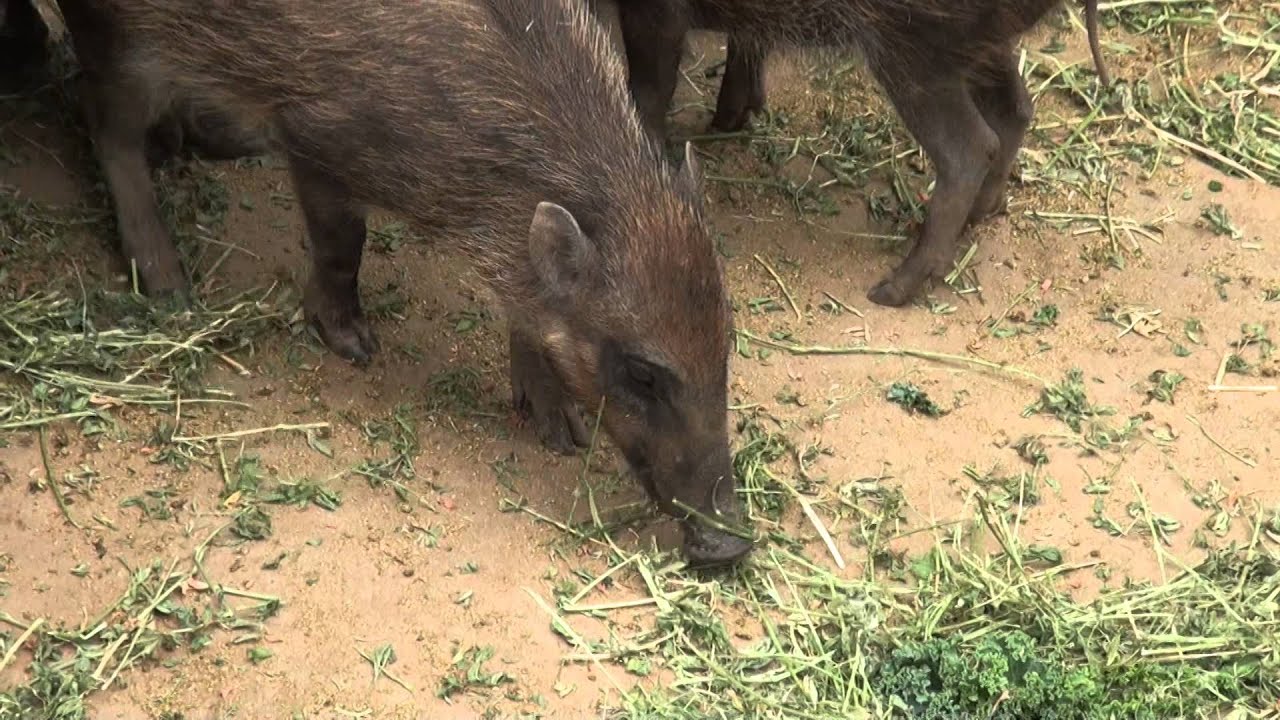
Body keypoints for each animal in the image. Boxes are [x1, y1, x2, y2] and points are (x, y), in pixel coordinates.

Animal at [56, 0, 754, 566]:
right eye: (641, 373)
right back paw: (169, 284)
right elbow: (343, 246)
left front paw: (560, 428)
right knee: (100, 116)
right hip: (121, 44)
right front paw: (353, 344)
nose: (730, 545)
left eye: (727, 344)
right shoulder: (315, 140)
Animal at [609, 0, 1109, 308]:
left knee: (969, 148)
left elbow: (649, 88)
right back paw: (981, 215)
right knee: (1016, 110)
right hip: (978, 45)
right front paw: (727, 121)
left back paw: (892, 290)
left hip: (913, 51)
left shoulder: (658, 14)